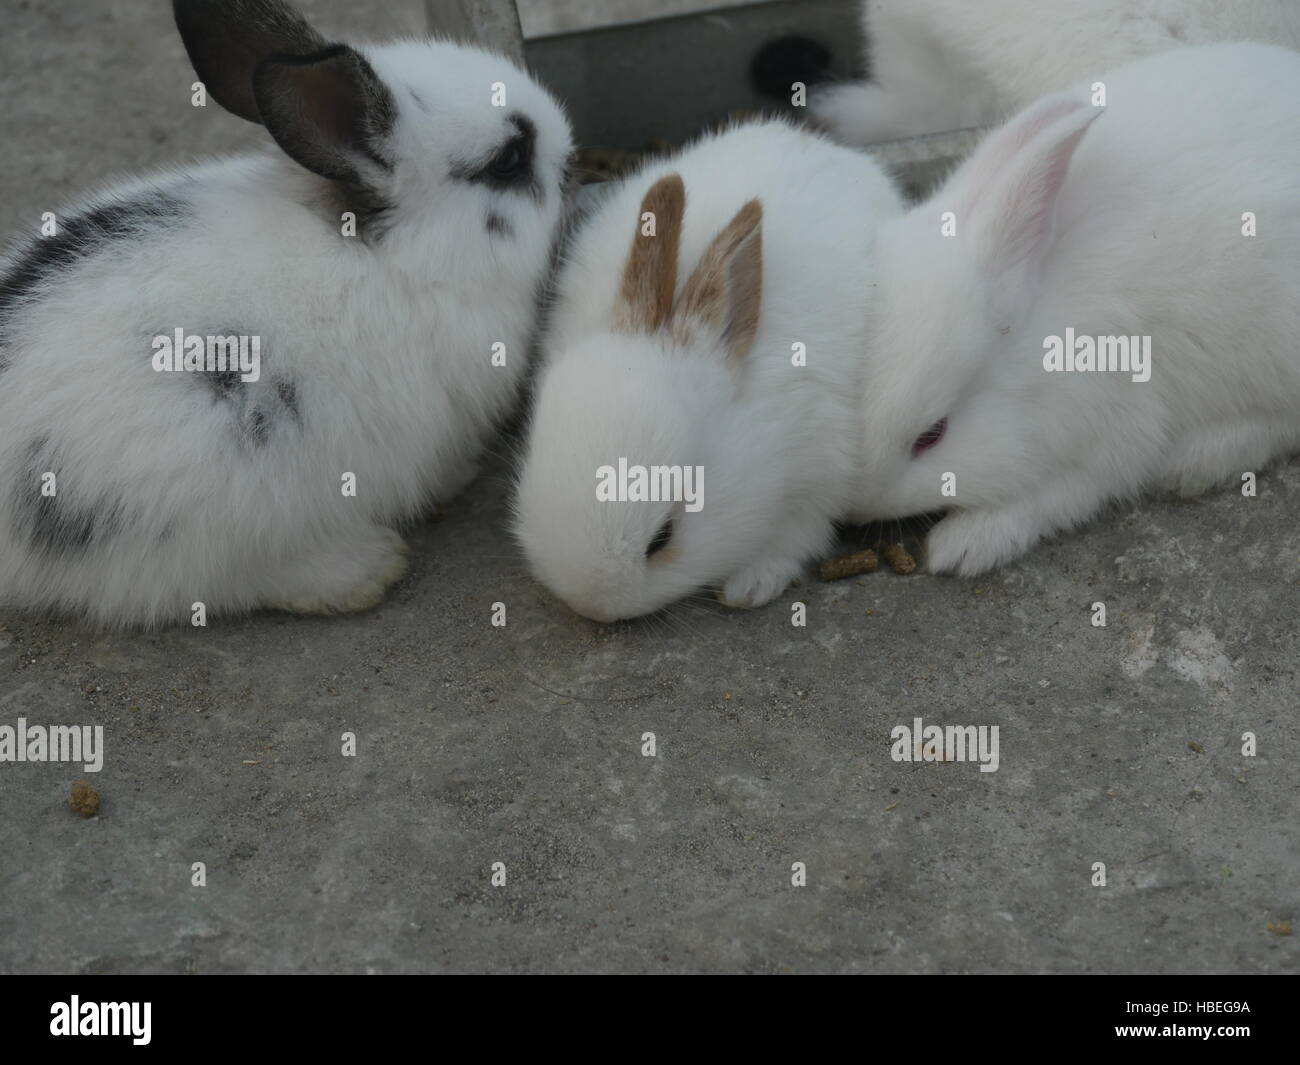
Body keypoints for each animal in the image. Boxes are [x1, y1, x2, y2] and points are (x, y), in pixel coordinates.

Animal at [855, 42, 1300, 576]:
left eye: (932, 436)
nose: (860, 508)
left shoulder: (1109, 438)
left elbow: (1044, 499)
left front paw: (964, 546)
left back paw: (1197, 461)